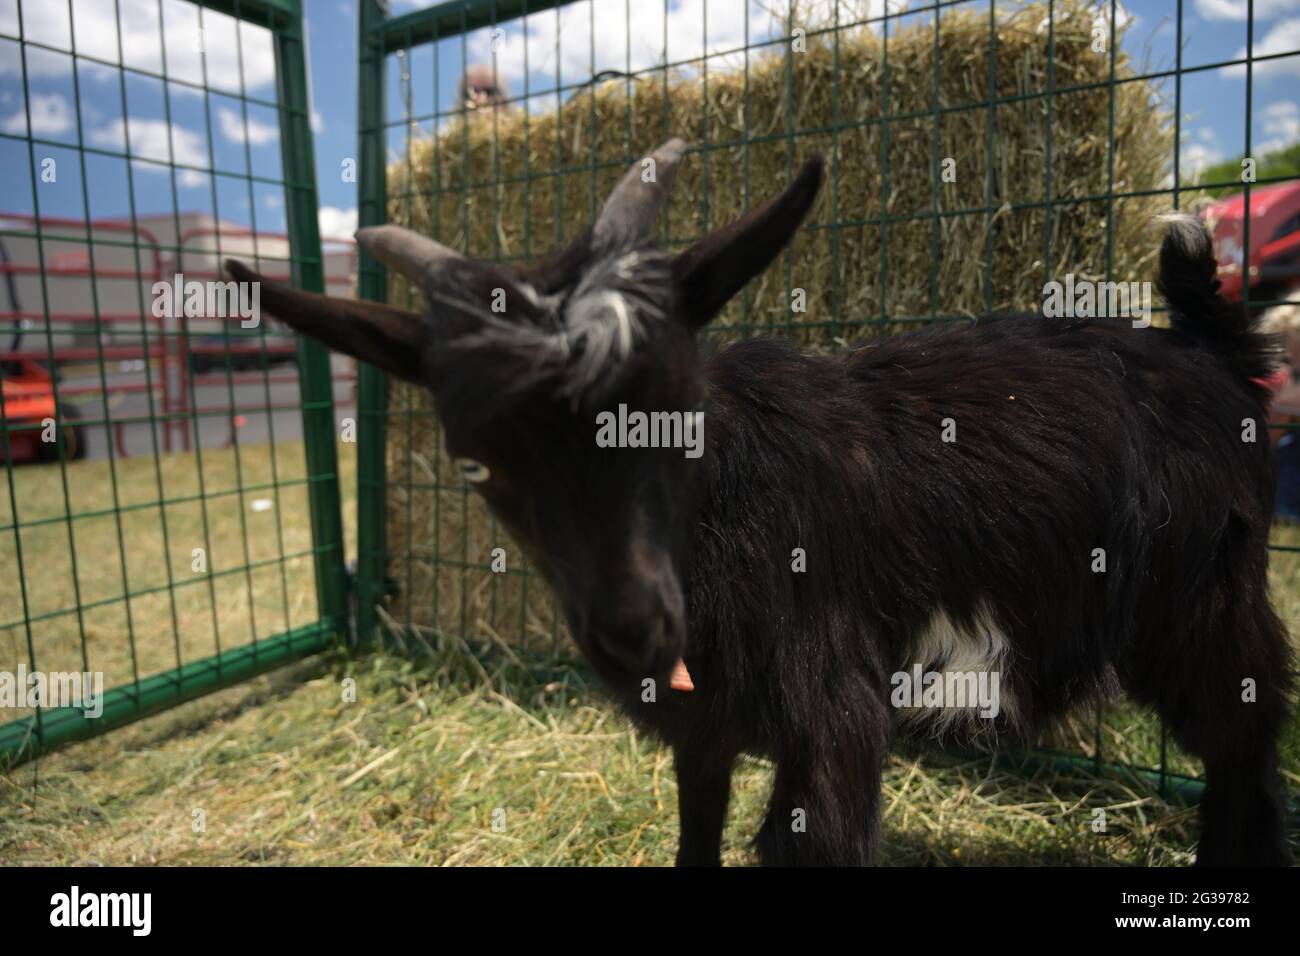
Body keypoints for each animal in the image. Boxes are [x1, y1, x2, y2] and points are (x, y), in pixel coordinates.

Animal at [227, 139, 1294, 866]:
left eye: (677, 404)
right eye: (475, 457)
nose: (635, 626)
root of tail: (1215, 352)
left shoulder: (833, 711)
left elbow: (807, 840)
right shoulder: (704, 729)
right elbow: (696, 836)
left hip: (1205, 601)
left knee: (1246, 745)